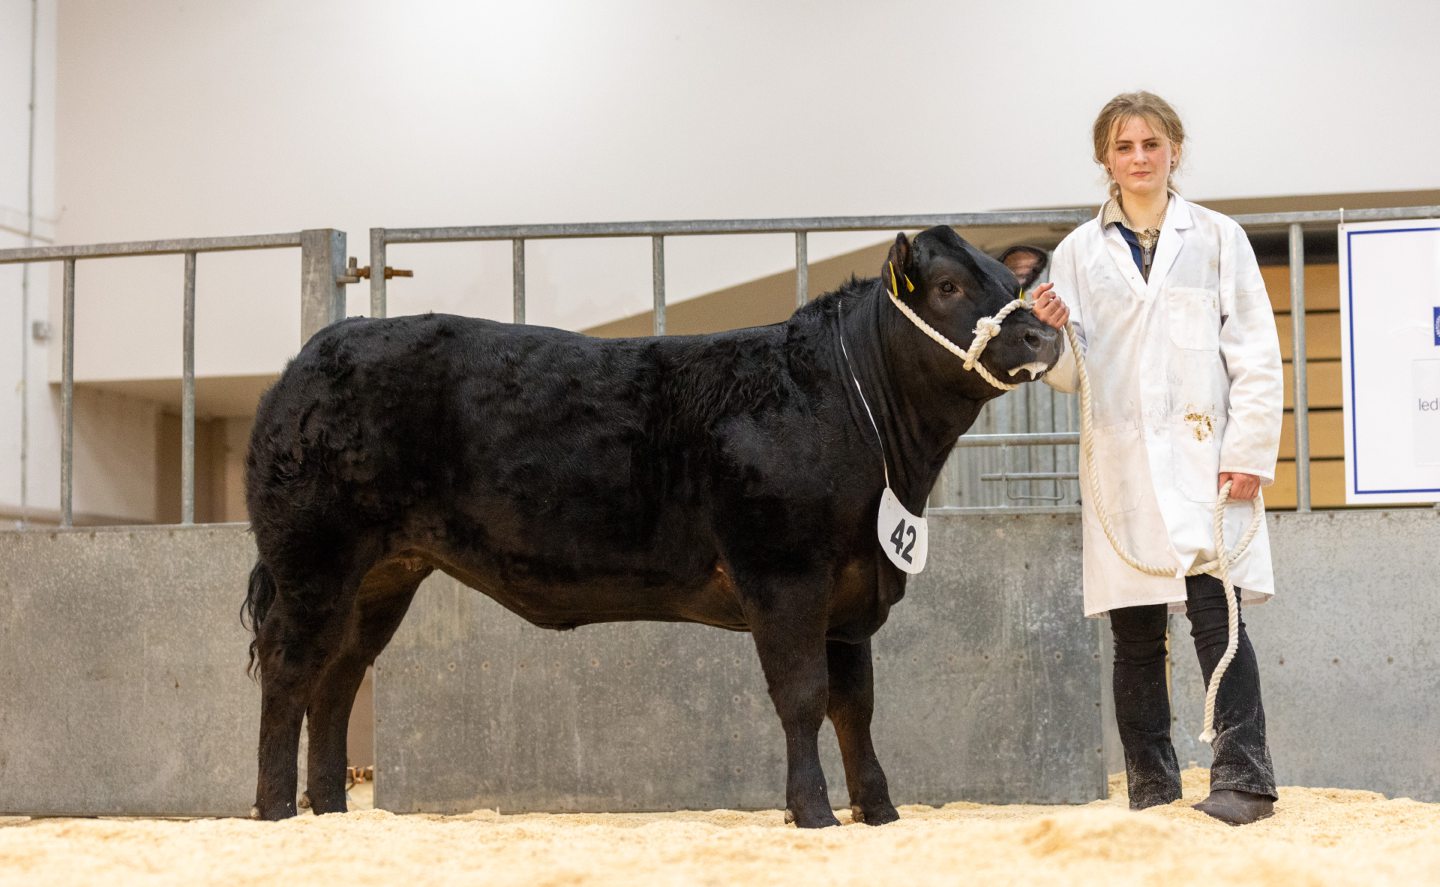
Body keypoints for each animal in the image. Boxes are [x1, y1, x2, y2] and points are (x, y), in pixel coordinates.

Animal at [242, 226, 1062, 827]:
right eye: (950, 287)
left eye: (1013, 283)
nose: (1042, 340)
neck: (851, 410)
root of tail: (317, 352)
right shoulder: (784, 574)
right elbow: (802, 696)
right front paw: (813, 813)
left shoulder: (854, 588)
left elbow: (853, 704)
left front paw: (880, 813)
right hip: (312, 557)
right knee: (290, 668)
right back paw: (277, 810)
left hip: (384, 572)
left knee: (339, 676)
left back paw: (333, 810)